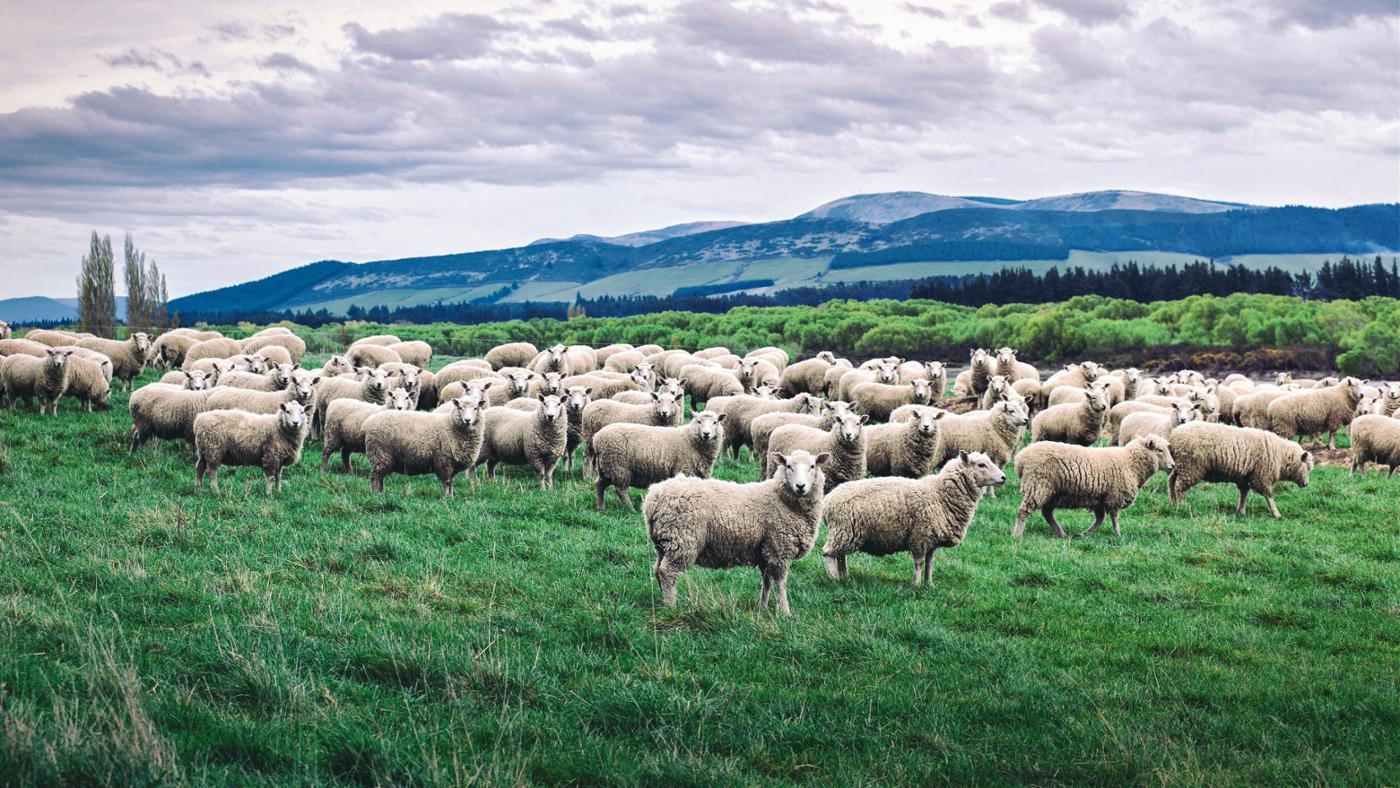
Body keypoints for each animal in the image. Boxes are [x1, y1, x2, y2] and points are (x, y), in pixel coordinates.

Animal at [592, 411, 727, 510]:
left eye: (715, 422)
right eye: (699, 421)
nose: (706, 434)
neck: (690, 440)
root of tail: (597, 438)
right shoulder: (685, 470)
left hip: (606, 467)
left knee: (599, 484)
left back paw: (601, 507)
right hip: (618, 467)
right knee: (621, 490)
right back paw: (631, 509)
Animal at [643, 449, 829, 615]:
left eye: (812, 466)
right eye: (789, 466)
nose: (800, 486)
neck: (782, 499)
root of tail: (653, 498)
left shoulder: (766, 551)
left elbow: (767, 582)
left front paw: (761, 607)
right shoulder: (779, 549)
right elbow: (780, 583)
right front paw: (785, 612)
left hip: (664, 543)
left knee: (657, 570)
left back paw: (663, 601)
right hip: (681, 540)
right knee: (667, 573)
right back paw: (671, 606)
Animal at [822, 451, 1007, 584]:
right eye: (981, 465)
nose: (1003, 477)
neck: (939, 494)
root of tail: (827, 500)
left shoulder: (932, 541)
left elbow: (930, 564)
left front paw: (929, 584)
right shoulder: (920, 536)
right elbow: (919, 563)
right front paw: (916, 585)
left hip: (846, 533)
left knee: (840, 555)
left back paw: (844, 576)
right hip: (843, 530)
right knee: (828, 554)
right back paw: (834, 579)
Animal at [1013, 436, 1175, 538]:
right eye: (1160, 450)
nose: (1173, 466)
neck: (1130, 462)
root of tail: (1020, 458)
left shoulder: (1099, 498)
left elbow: (1100, 519)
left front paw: (1084, 534)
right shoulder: (1114, 495)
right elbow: (1114, 518)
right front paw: (1118, 535)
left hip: (1052, 492)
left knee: (1047, 513)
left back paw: (1061, 534)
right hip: (1037, 485)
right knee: (1024, 511)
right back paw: (1017, 534)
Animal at [1166, 422, 1313, 518]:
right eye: (1307, 467)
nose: (1306, 484)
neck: (1281, 455)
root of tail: (1173, 436)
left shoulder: (1244, 476)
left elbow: (1244, 493)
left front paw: (1241, 511)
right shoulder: (1261, 476)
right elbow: (1268, 495)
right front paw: (1276, 513)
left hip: (1180, 465)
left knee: (1171, 481)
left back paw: (1173, 503)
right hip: (1190, 466)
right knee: (1180, 486)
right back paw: (1183, 506)